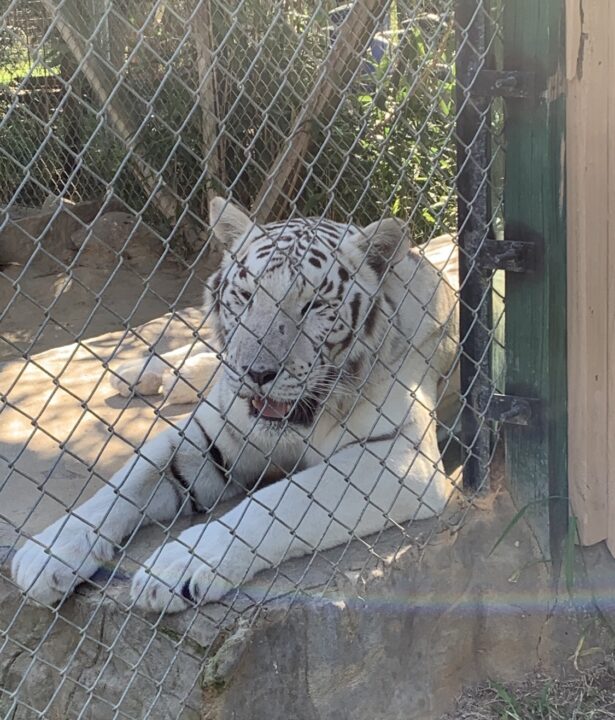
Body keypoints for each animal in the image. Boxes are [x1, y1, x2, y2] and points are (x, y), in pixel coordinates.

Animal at [12, 197, 459, 614]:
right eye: (245, 297)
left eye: (314, 305)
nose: (257, 372)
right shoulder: (205, 438)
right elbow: (124, 484)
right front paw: (45, 553)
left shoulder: (397, 455)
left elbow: (279, 501)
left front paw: (175, 566)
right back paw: (139, 374)